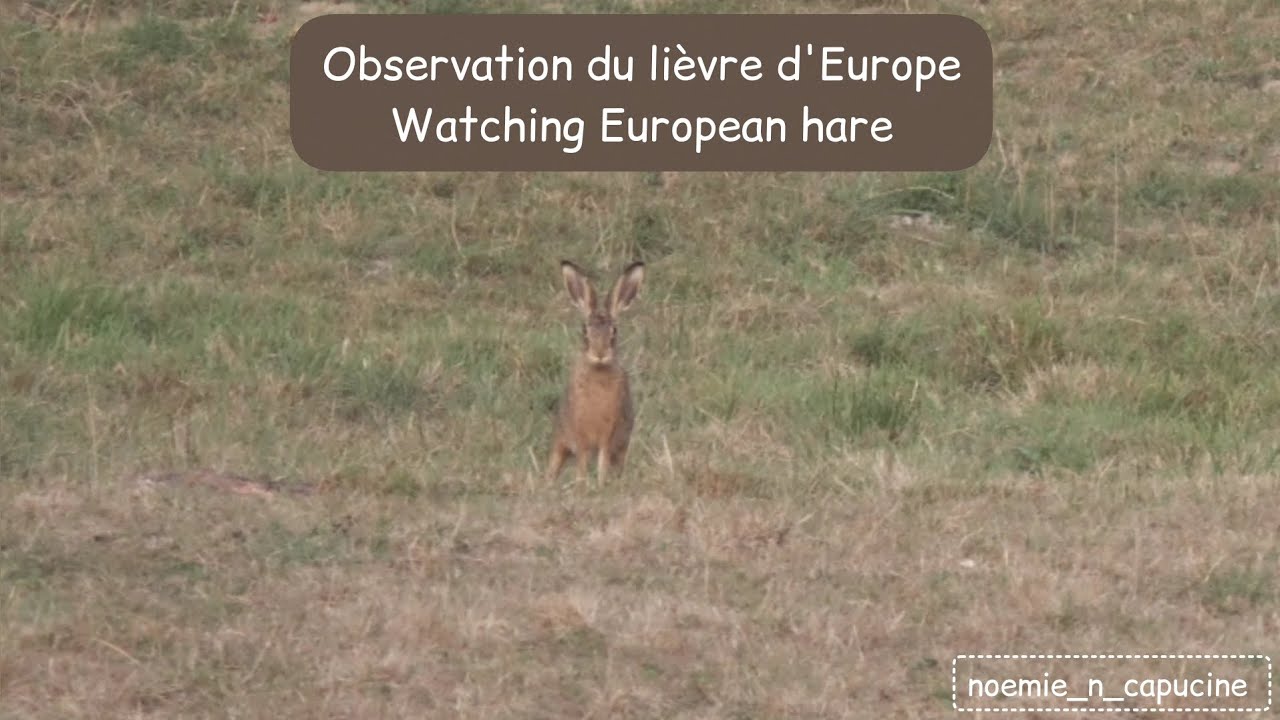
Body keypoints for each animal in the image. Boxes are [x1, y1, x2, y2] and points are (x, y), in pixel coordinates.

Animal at [545, 259, 646, 486]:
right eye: (585, 330)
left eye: (614, 331)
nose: (600, 354)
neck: (598, 371)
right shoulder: (579, 435)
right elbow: (582, 462)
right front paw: (582, 484)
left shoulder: (608, 437)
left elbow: (602, 462)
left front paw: (600, 484)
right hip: (561, 439)